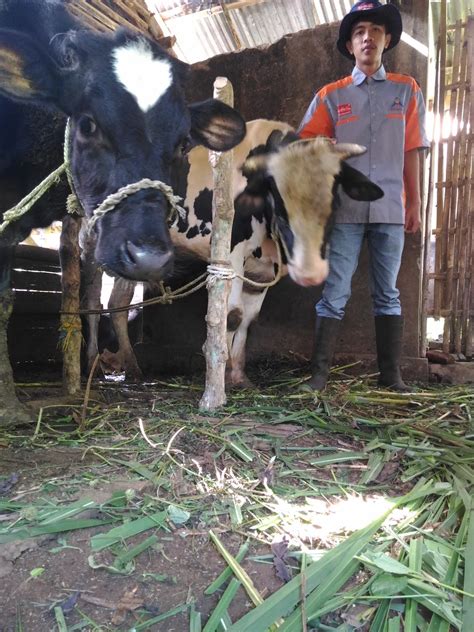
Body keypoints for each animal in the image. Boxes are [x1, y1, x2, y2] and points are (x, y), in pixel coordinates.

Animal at [82, 118, 386, 386]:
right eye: (280, 205)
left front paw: (239, 375)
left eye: (334, 203)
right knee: (94, 300)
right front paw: (220, 373)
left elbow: (248, 319)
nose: (311, 273)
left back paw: (123, 366)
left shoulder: (261, 271)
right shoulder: (231, 254)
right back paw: (99, 365)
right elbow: (232, 315)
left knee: (115, 302)